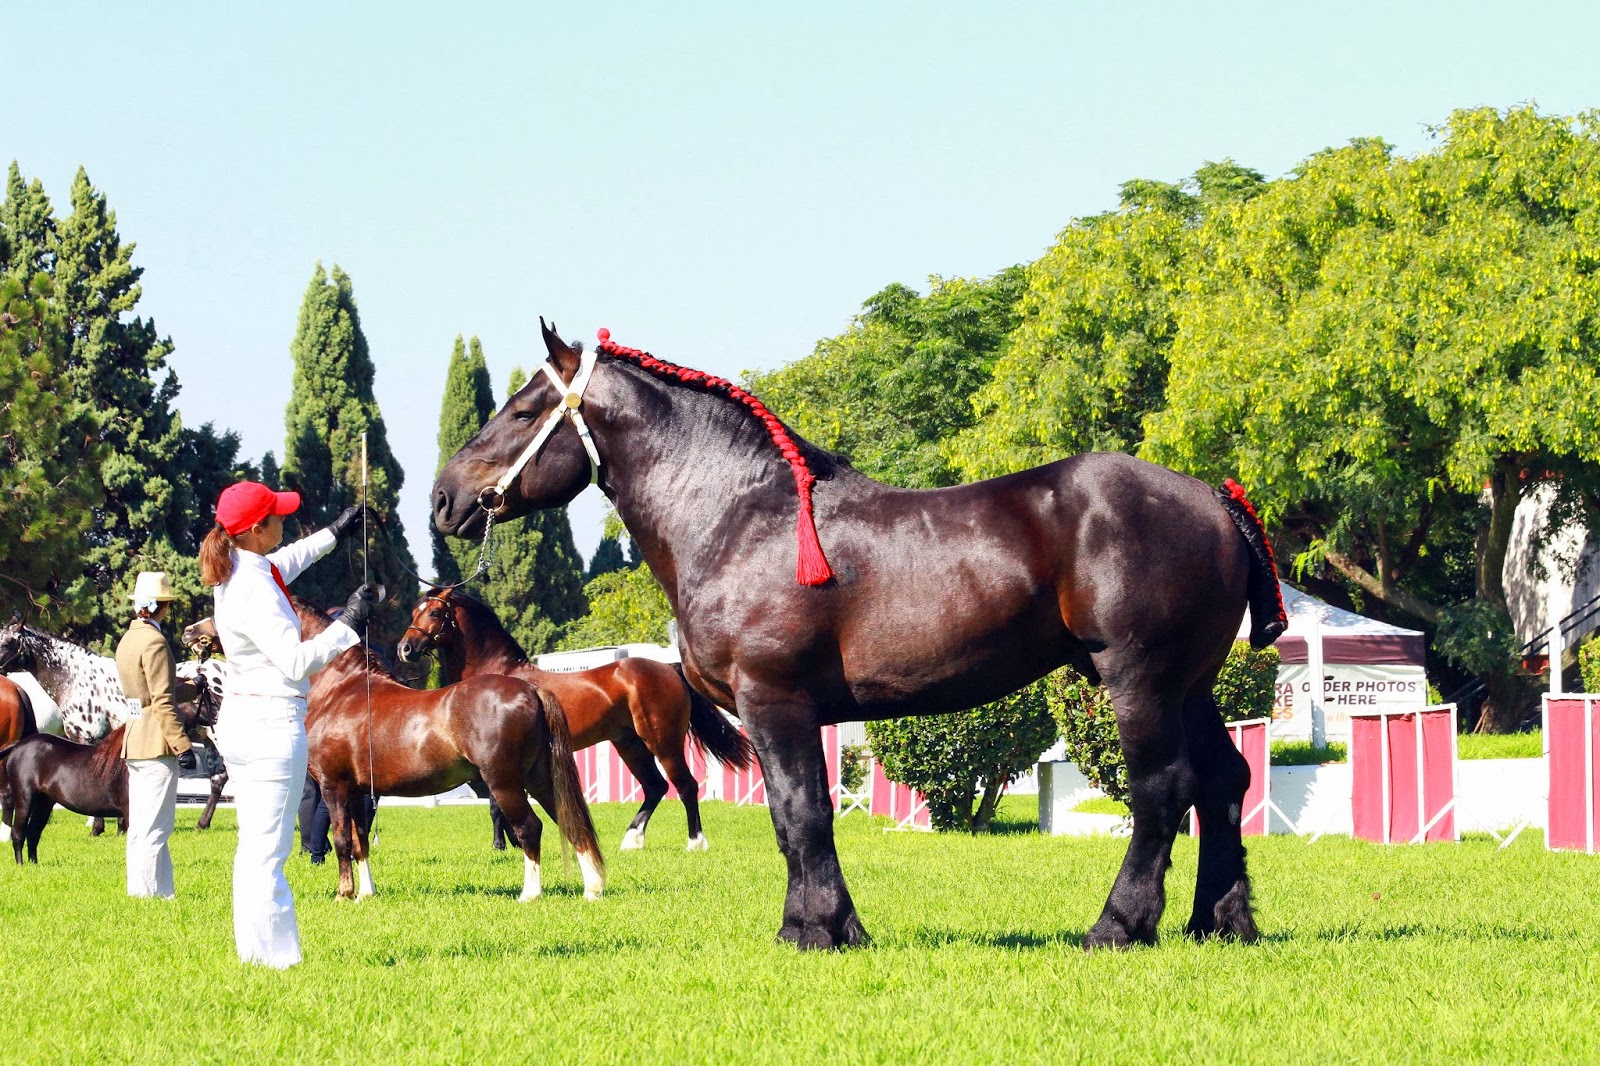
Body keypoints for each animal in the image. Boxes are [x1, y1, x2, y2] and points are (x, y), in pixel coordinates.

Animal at [1, 727, 130, 864]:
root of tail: (18, 745)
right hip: (24, 799)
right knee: (18, 833)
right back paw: (21, 865)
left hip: (43, 803)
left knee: (33, 832)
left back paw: (33, 864)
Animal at [289, 596, 604, 902]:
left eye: (434, 613)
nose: (406, 648)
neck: (342, 690)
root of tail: (531, 690)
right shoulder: (356, 791)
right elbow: (360, 841)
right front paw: (366, 894)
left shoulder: (334, 786)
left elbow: (342, 838)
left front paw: (344, 894)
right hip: (539, 778)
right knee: (569, 820)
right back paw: (592, 889)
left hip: (505, 782)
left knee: (530, 828)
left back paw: (530, 894)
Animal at [397, 588, 755, 852]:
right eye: (413, 612)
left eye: (434, 613)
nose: (405, 649)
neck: (498, 674)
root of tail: (669, 669)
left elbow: (497, 805)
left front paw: (506, 845)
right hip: (629, 744)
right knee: (655, 787)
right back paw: (631, 840)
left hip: (661, 740)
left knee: (684, 785)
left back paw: (695, 842)